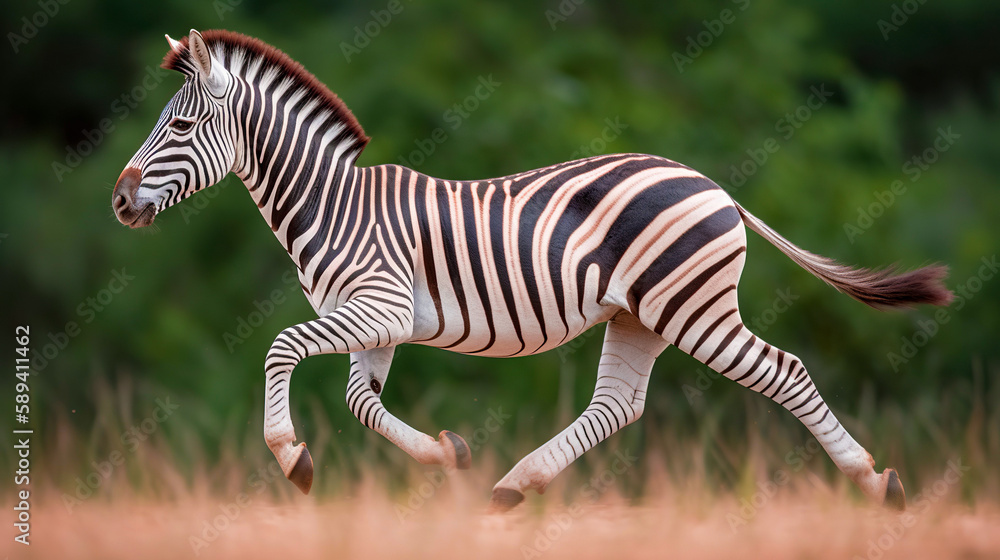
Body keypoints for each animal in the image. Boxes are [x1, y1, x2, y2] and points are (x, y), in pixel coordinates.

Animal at [113, 29, 952, 512]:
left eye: (179, 126)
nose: (119, 201)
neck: (334, 204)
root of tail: (715, 186)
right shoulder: (379, 322)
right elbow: (359, 401)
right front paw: (446, 453)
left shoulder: (379, 306)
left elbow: (281, 346)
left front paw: (294, 460)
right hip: (639, 316)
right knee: (618, 406)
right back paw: (513, 487)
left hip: (692, 309)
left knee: (785, 371)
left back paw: (874, 483)